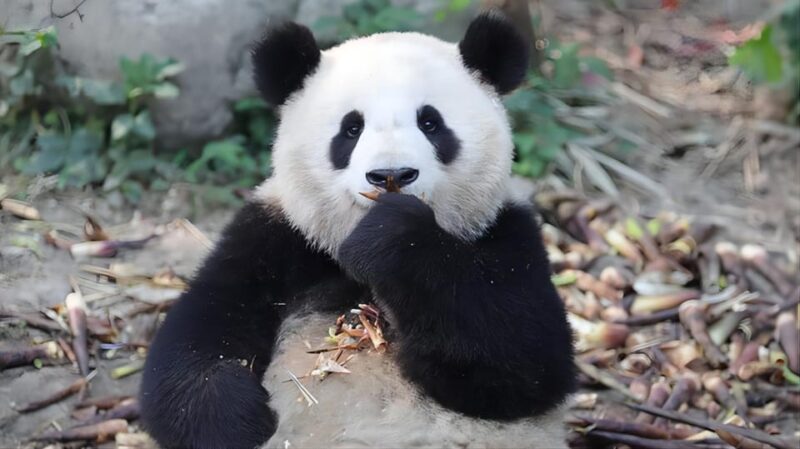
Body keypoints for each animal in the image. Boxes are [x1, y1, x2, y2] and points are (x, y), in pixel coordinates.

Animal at [139, 12, 575, 449]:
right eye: (351, 129)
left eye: (430, 123)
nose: (391, 175)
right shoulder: (276, 238)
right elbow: (198, 337)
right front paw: (238, 420)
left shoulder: (505, 232)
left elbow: (525, 356)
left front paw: (391, 236)